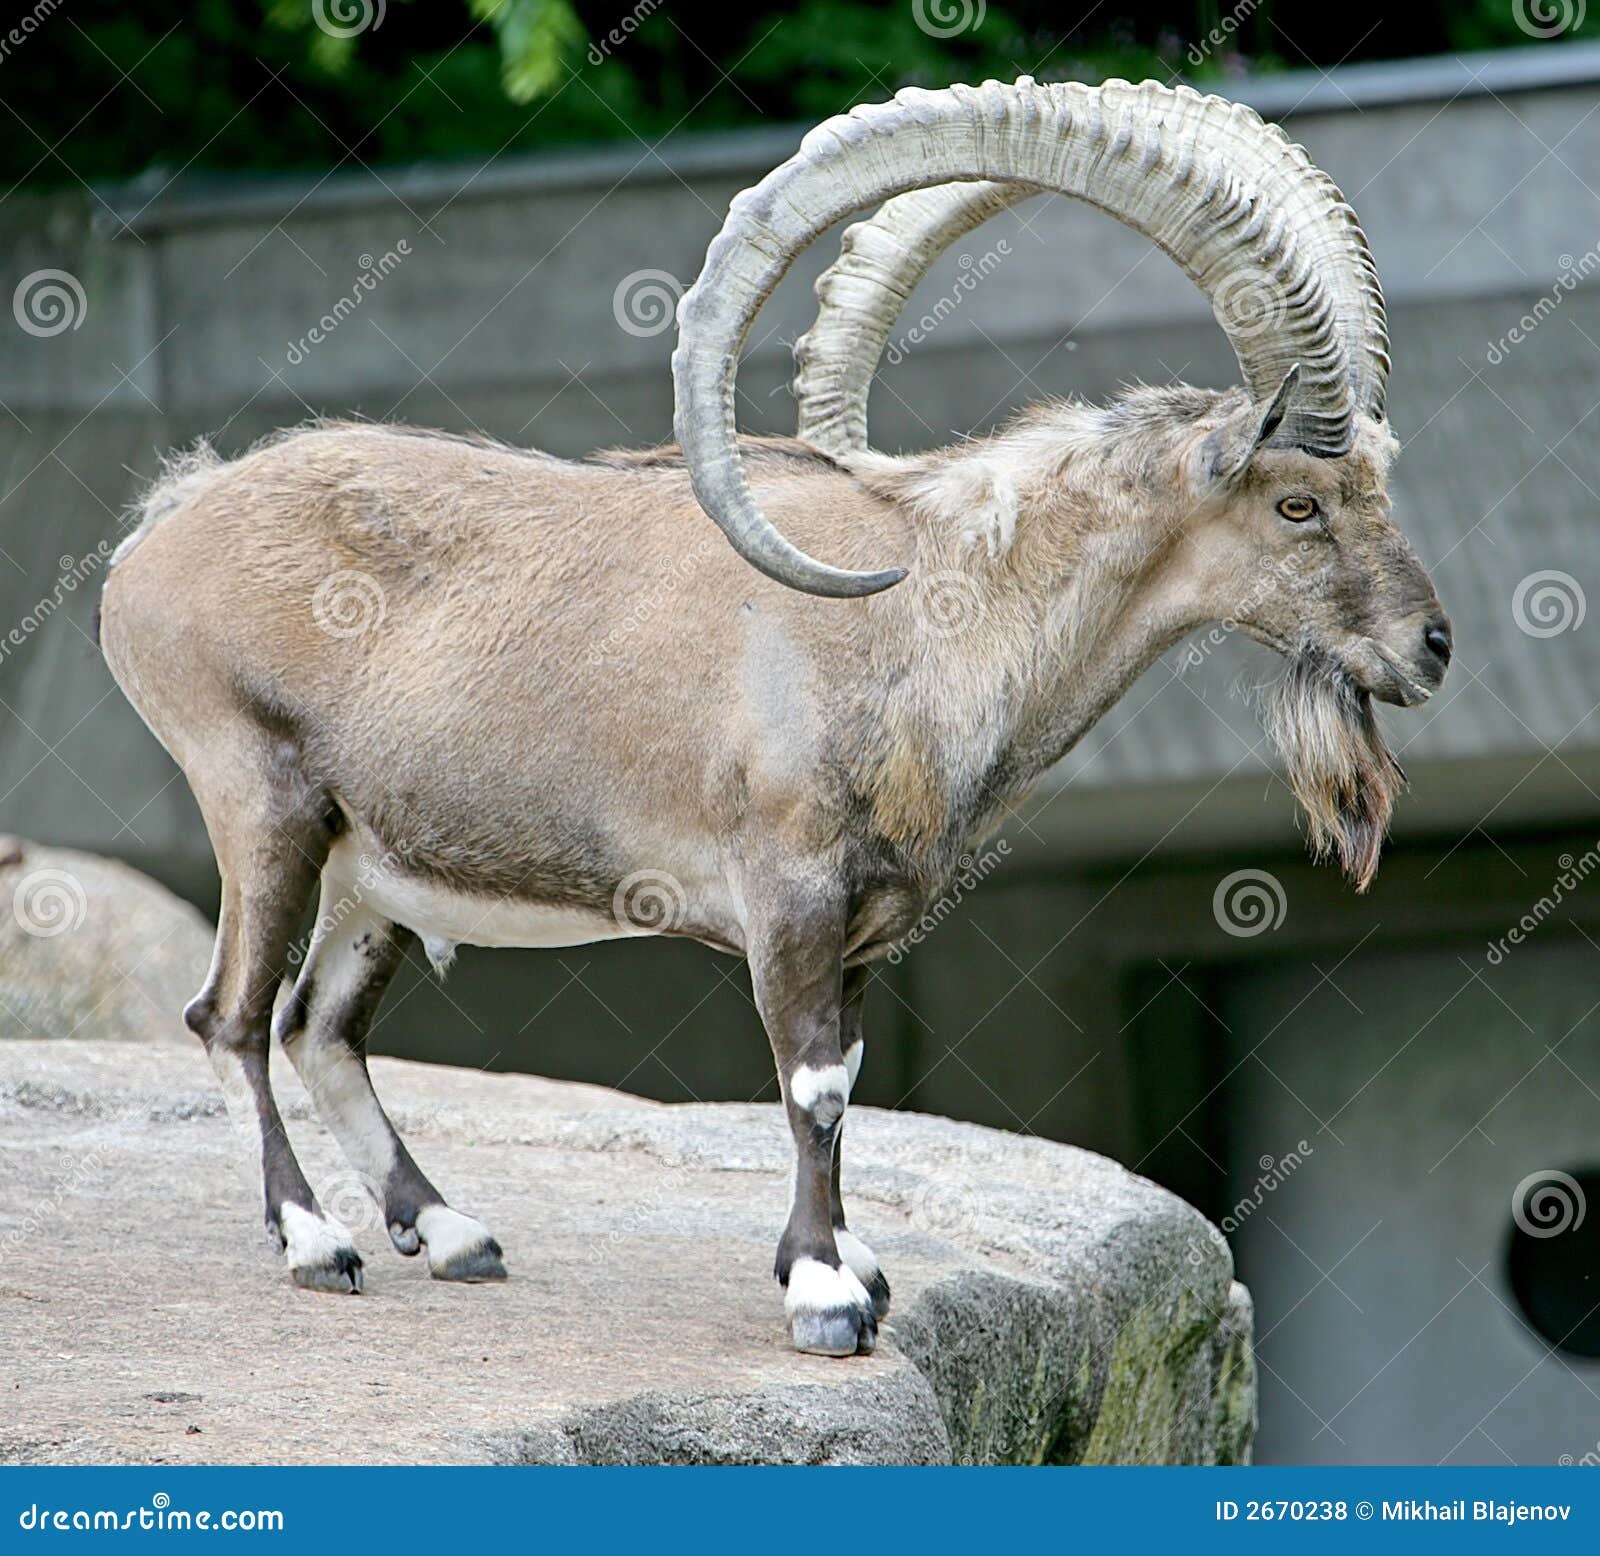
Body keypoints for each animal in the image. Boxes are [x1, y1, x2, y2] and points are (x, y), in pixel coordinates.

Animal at [100, 78, 1449, 1357]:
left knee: (319, 1022)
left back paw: (451, 1228)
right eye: (1296, 501)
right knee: (230, 1015)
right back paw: (315, 1238)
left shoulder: (865, 925)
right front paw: (821, 1294)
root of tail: (159, 529)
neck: (936, 602)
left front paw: (857, 1264)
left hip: (371, 860)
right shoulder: (788, 889)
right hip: (261, 801)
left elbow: (843, 1076)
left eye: (1379, 477)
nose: (1428, 648)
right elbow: (809, 1087)